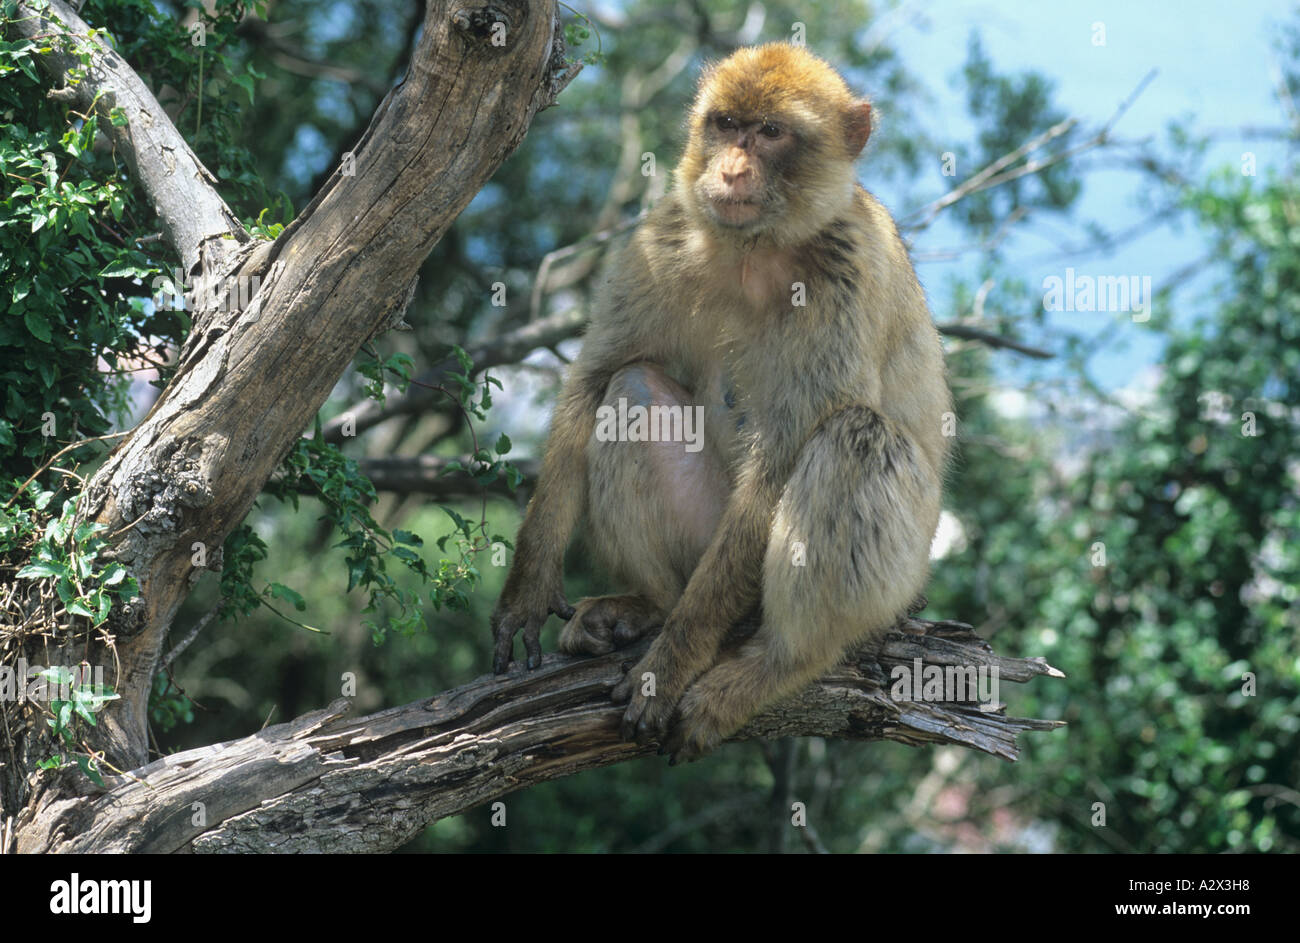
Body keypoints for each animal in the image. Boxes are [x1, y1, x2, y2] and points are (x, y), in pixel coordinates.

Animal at [490, 43, 951, 762]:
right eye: (727, 123)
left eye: (772, 133)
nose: (732, 169)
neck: (753, 248)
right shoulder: (663, 234)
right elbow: (596, 379)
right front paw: (529, 586)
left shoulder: (844, 275)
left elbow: (782, 460)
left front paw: (671, 666)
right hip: (703, 533)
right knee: (633, 388)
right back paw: (652, 604)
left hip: (892, 583)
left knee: (857, 434)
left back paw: (775, 665)